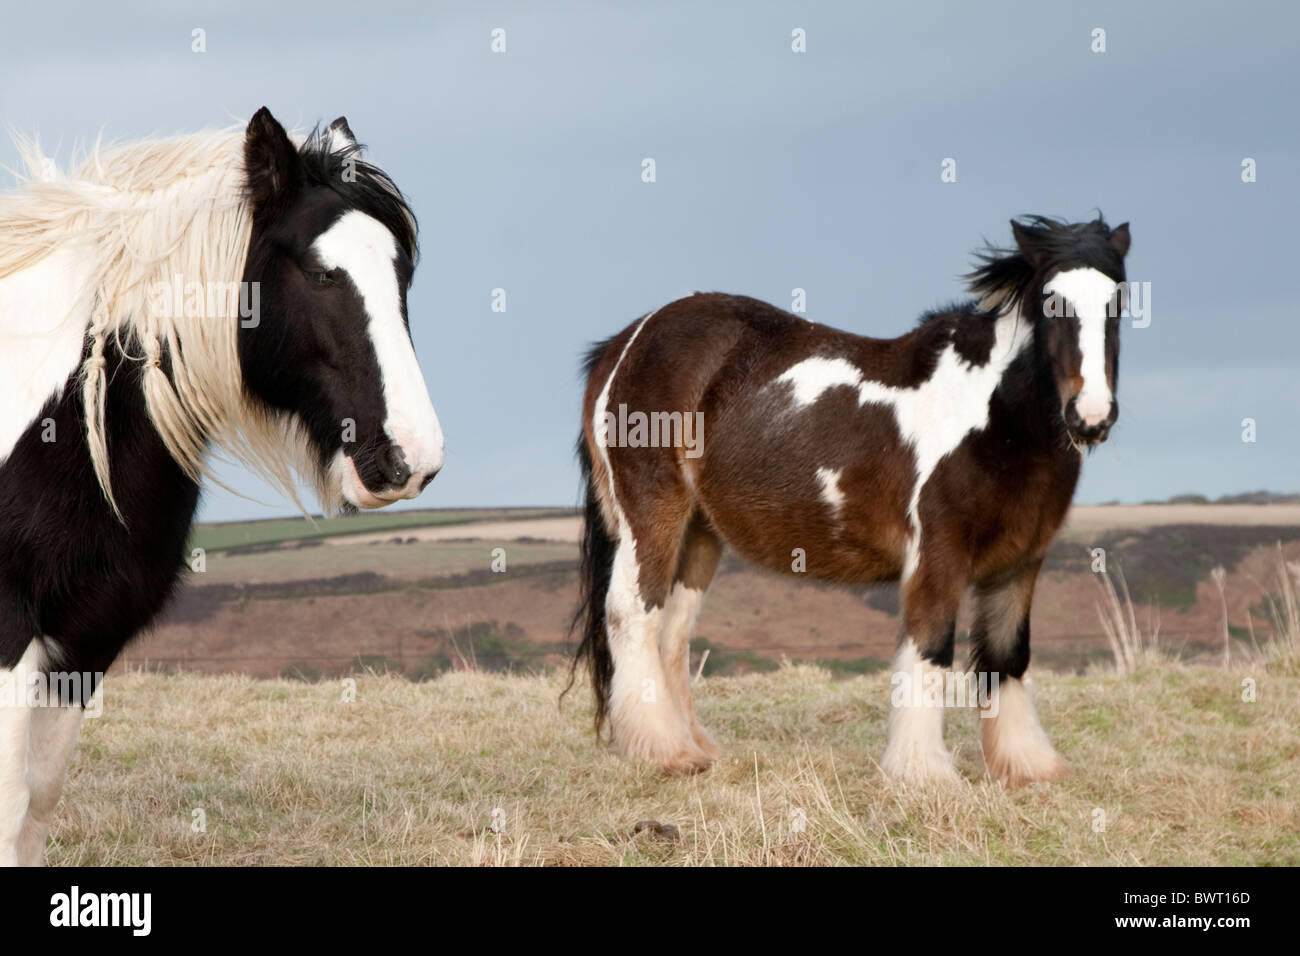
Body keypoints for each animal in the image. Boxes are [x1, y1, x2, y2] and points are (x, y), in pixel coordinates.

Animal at [569, 214, 1128, 785]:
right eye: (1051, 301)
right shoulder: (938, 557)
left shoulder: (1020, 562)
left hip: (700, 531)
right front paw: (924, 773)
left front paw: (1027, 764)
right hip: (652, 513)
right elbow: (930, 650)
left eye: (1118, 301)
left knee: (672, 633)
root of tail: (626, 342)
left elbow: (1008, 657)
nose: (1091, 416)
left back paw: (694, 747)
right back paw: (663, 752)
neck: (994, 419)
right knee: (632, 614)